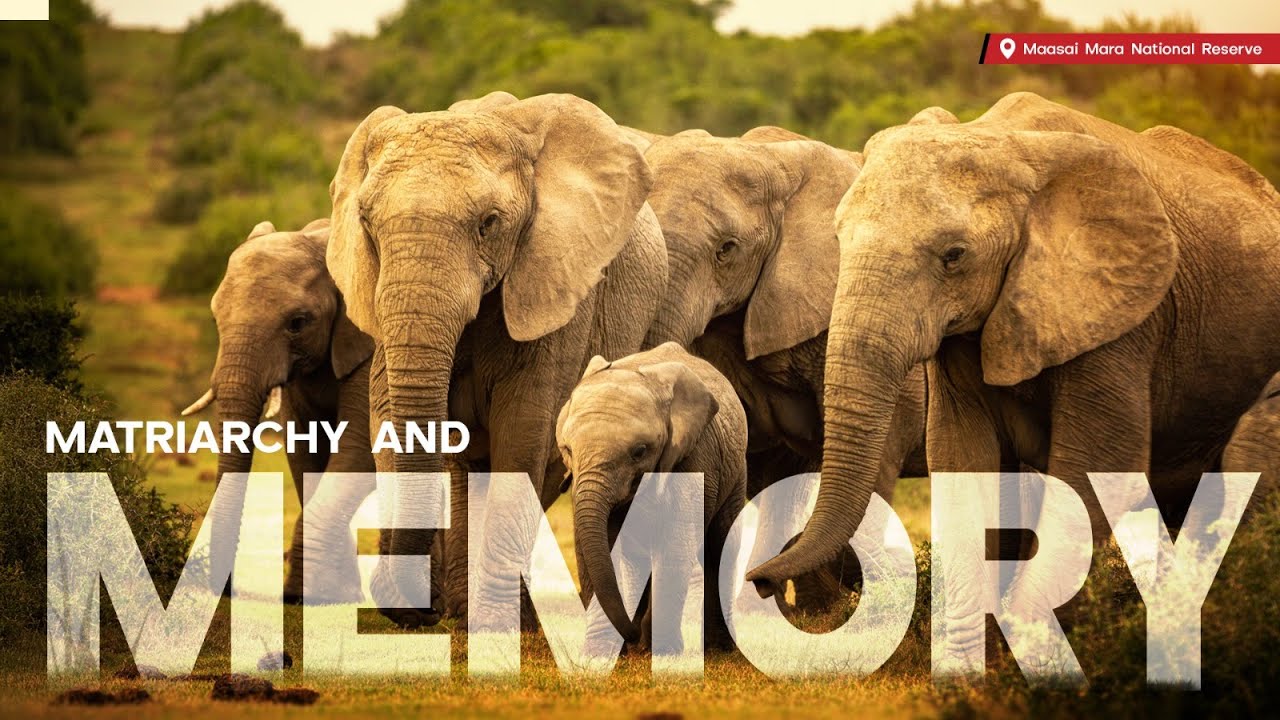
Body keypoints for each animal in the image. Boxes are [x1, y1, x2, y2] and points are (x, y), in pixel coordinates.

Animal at [182, 218, 375, 603]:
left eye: (297, 323)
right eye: (215, 319)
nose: (228, 590)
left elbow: (359, 450)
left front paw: (308, 594)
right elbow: (305, 452)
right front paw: (334, 595)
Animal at [326, 92, 668, 628]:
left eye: (489, 224)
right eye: (365, 222)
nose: (416, 610)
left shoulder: (556, 289)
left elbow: (523, 431)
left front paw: (494, 624)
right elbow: (398, 421)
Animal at [555, 341, 746, 652]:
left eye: (639, 451)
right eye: (567, 449)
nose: (631, 635)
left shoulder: (695, 457)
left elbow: (676, 544)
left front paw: (663, 652)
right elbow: (595, 546)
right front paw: (601, 654)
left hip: (736, 470)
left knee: (720, 547)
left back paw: (719, 649)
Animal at [748, 92, 1280, 604]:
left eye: (954, 256)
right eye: (839, 240)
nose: (760, 580)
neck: (1001, 139)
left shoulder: (1119, 322)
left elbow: (1098, 471)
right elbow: (965, 459)